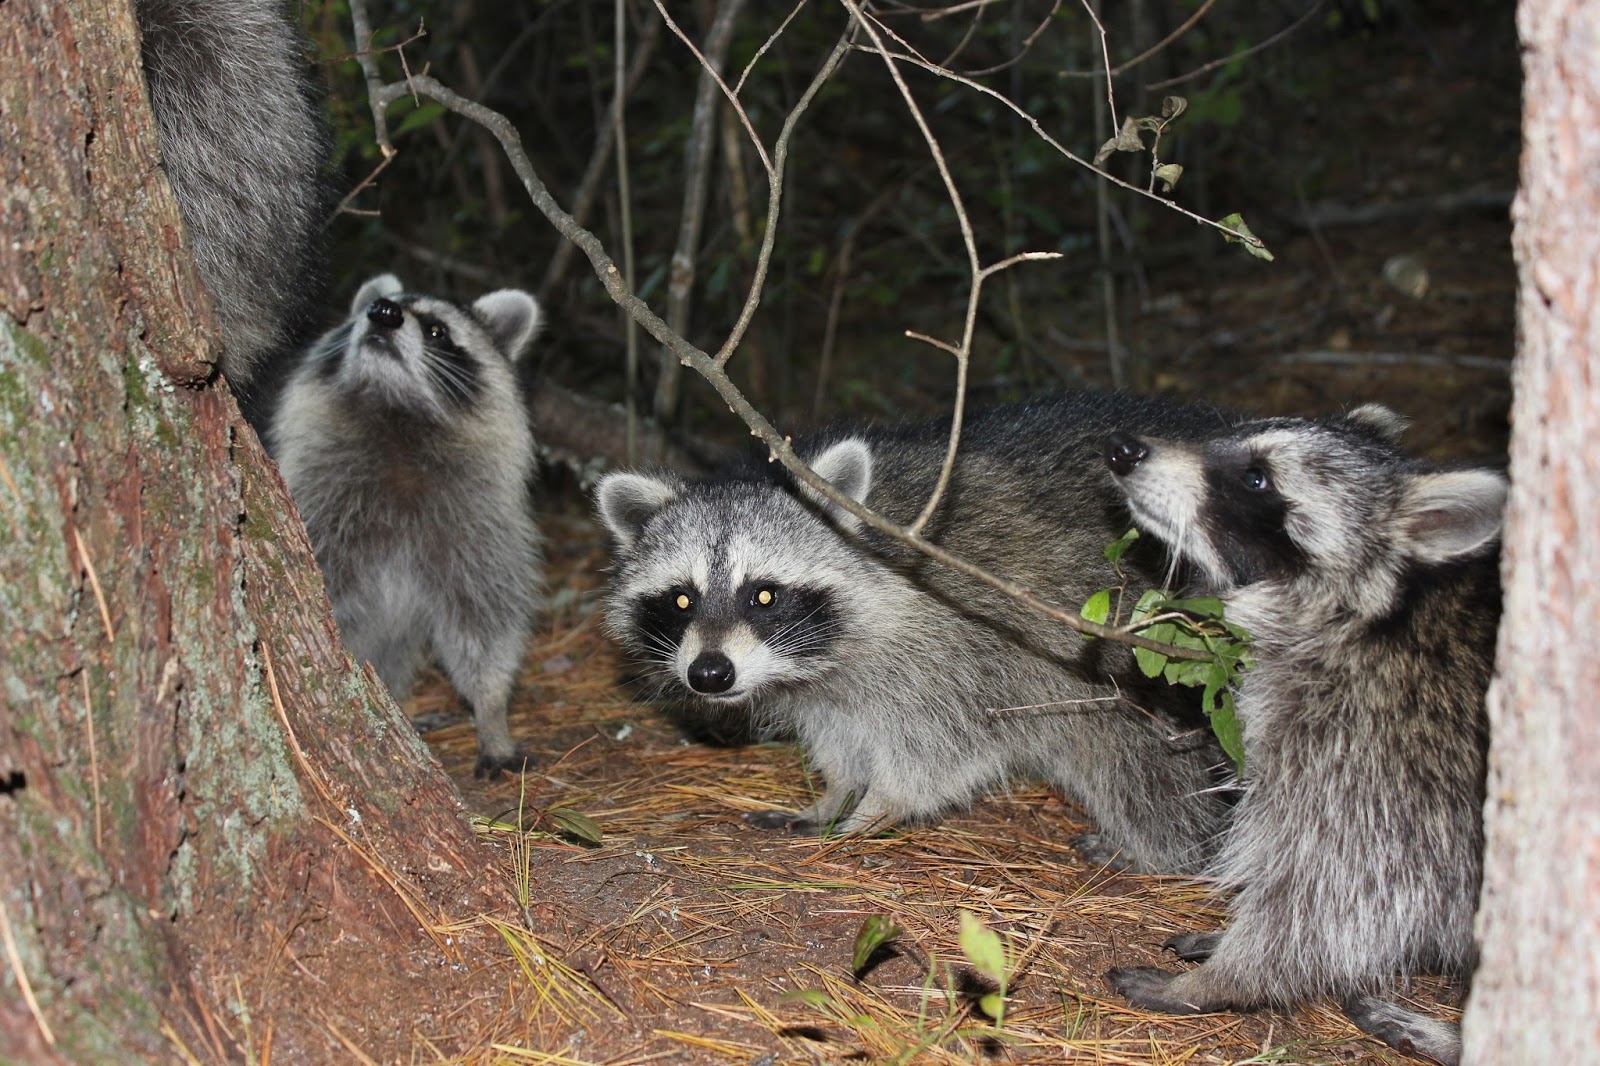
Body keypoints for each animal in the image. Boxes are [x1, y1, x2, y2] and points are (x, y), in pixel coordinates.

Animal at [271, 275, 545, 776]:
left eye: (437, 330)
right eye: (376, 307)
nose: (382, 313)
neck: (395, 417)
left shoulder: (479, 527)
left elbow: (484, 623)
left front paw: (492, 712)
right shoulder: (319, 505)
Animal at [597, 393, 1243, 874]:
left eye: (763, 595)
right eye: (681, 599)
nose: (709, 673)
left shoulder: (967, 644)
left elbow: (940, 747)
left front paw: (876, 806)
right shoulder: (827, 682)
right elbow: (838, 732)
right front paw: (835, 791)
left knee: (1142, 763)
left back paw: (1160, 850)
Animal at [1101, 405, 1503, 1065]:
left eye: (1257, 478)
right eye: (1221, 436)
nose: (1122, 447)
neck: (1371, 612)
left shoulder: (1380, 746)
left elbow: (1335, 896)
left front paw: (1219, 982)